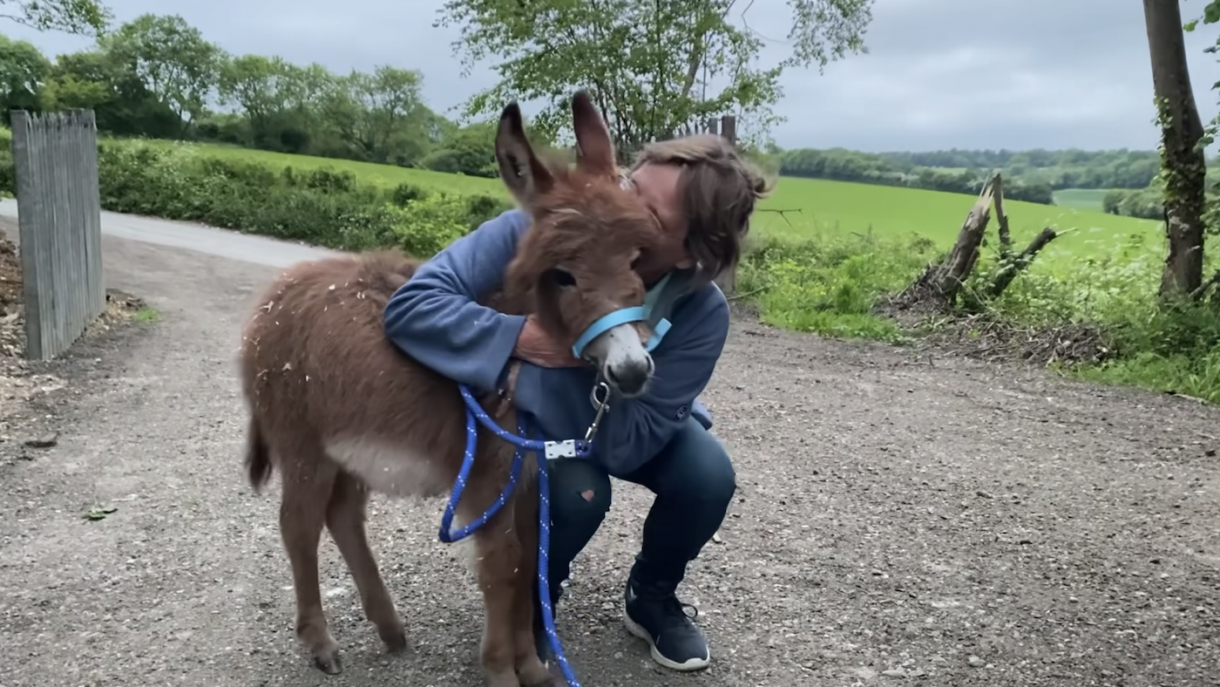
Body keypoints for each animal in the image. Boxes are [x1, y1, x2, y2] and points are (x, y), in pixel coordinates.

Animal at [237, 91, 665, 687]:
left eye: (636, 262)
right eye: (562, 276)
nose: (631, 371)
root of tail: (275, 297)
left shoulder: (530, 476)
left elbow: (531, 559)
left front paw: (533, 666)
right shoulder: (491, 474)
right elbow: (505, 565)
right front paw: (502, 670)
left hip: (347, 448)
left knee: (341, 517)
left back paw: (389, 628)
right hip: (302, 445)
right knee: (298, 527)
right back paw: (321, 644)